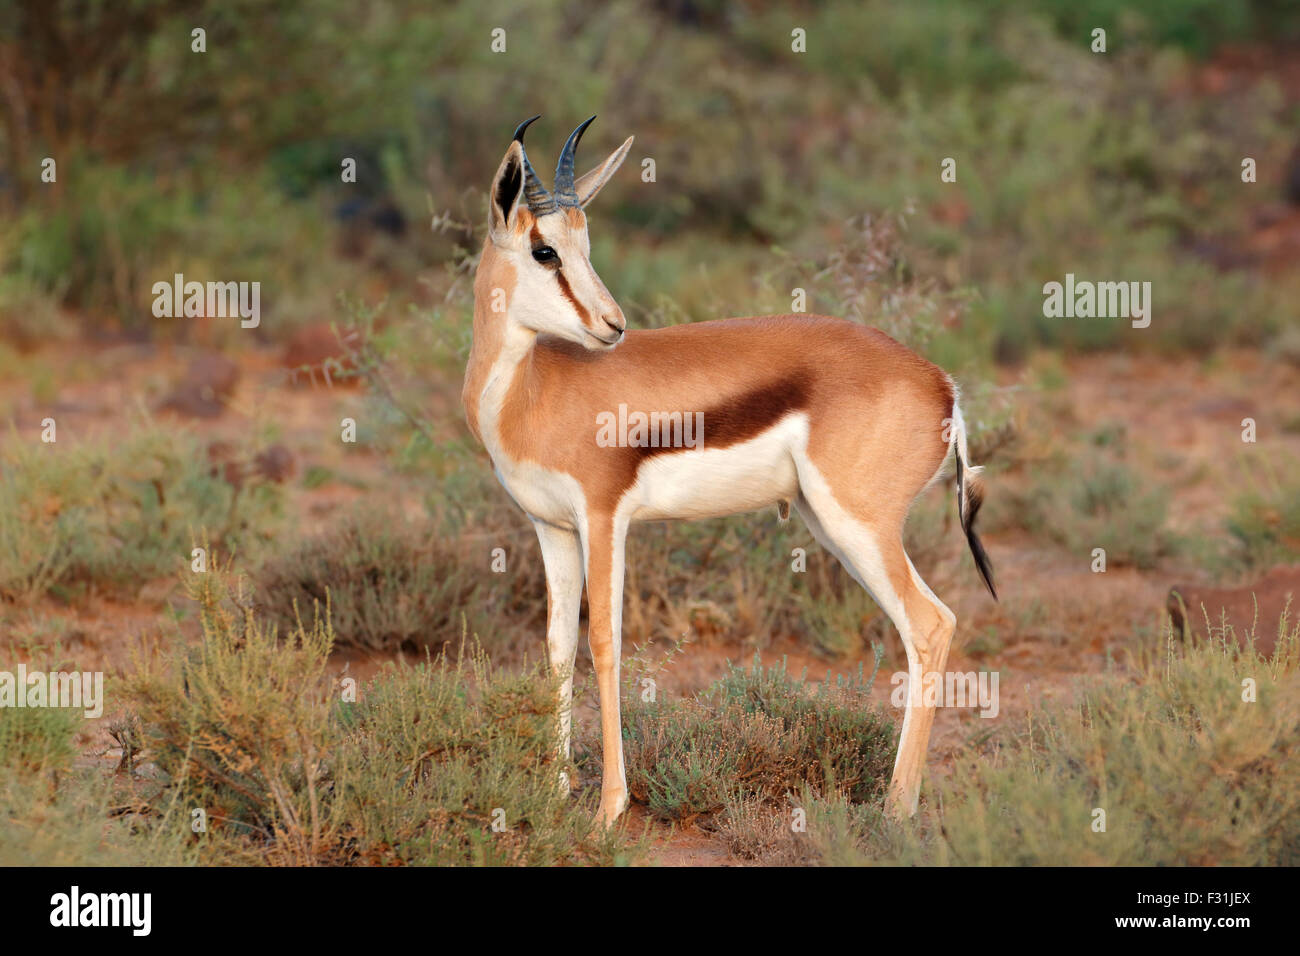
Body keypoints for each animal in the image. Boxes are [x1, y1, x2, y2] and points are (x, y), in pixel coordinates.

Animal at [463, 116, 997, 826]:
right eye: (545, 251)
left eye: (580, 246)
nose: (613, 326)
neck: (531, 389)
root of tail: (943, 385)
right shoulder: (551, 528)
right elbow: (555, 650)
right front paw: (552, 792)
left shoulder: (604, 520)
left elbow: (604, 642)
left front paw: (608, 811)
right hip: (830, 524)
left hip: (857, 525)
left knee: (931, 625)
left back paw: (894, 811)